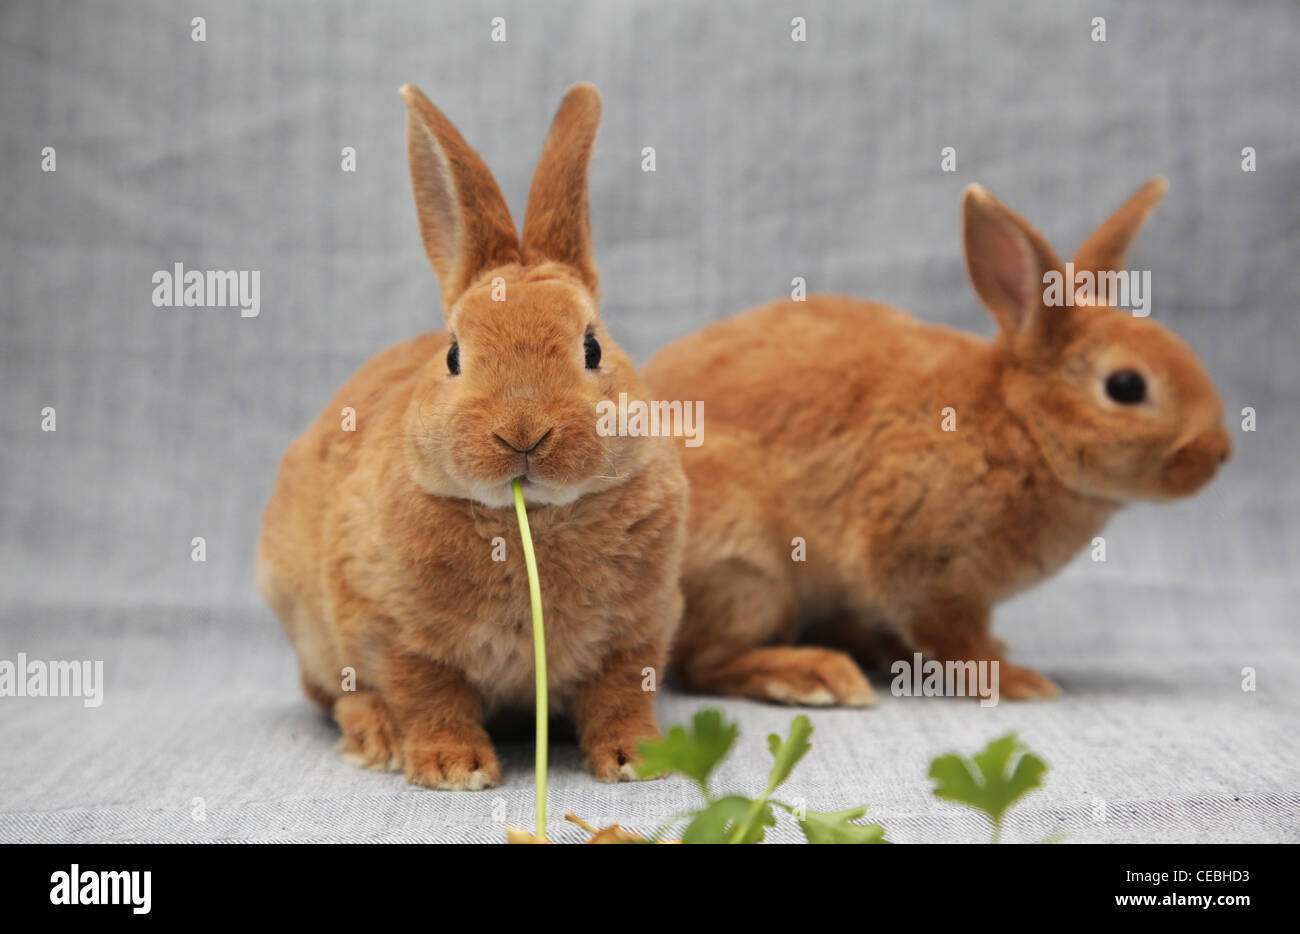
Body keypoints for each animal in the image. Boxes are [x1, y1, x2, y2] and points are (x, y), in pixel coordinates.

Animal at [257, 83, 687, 789]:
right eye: (455, 354)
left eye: (592, 347)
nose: (523, 432)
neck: (528, 519)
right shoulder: (395, 633)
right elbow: (429, 697)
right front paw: (455, 769)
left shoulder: (639, 632)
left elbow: (620, 696)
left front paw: (636, 761)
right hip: (309, 626)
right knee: (339, 695)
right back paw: (375, 739)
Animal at [643, 178, 1230, 706]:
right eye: (1126, 386)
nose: (1219, 454)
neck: (1021, 428)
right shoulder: (926, 567)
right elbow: (953, 638)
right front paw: (1013, 680)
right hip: (747, 574)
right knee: (704, 663)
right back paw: (815, 676)